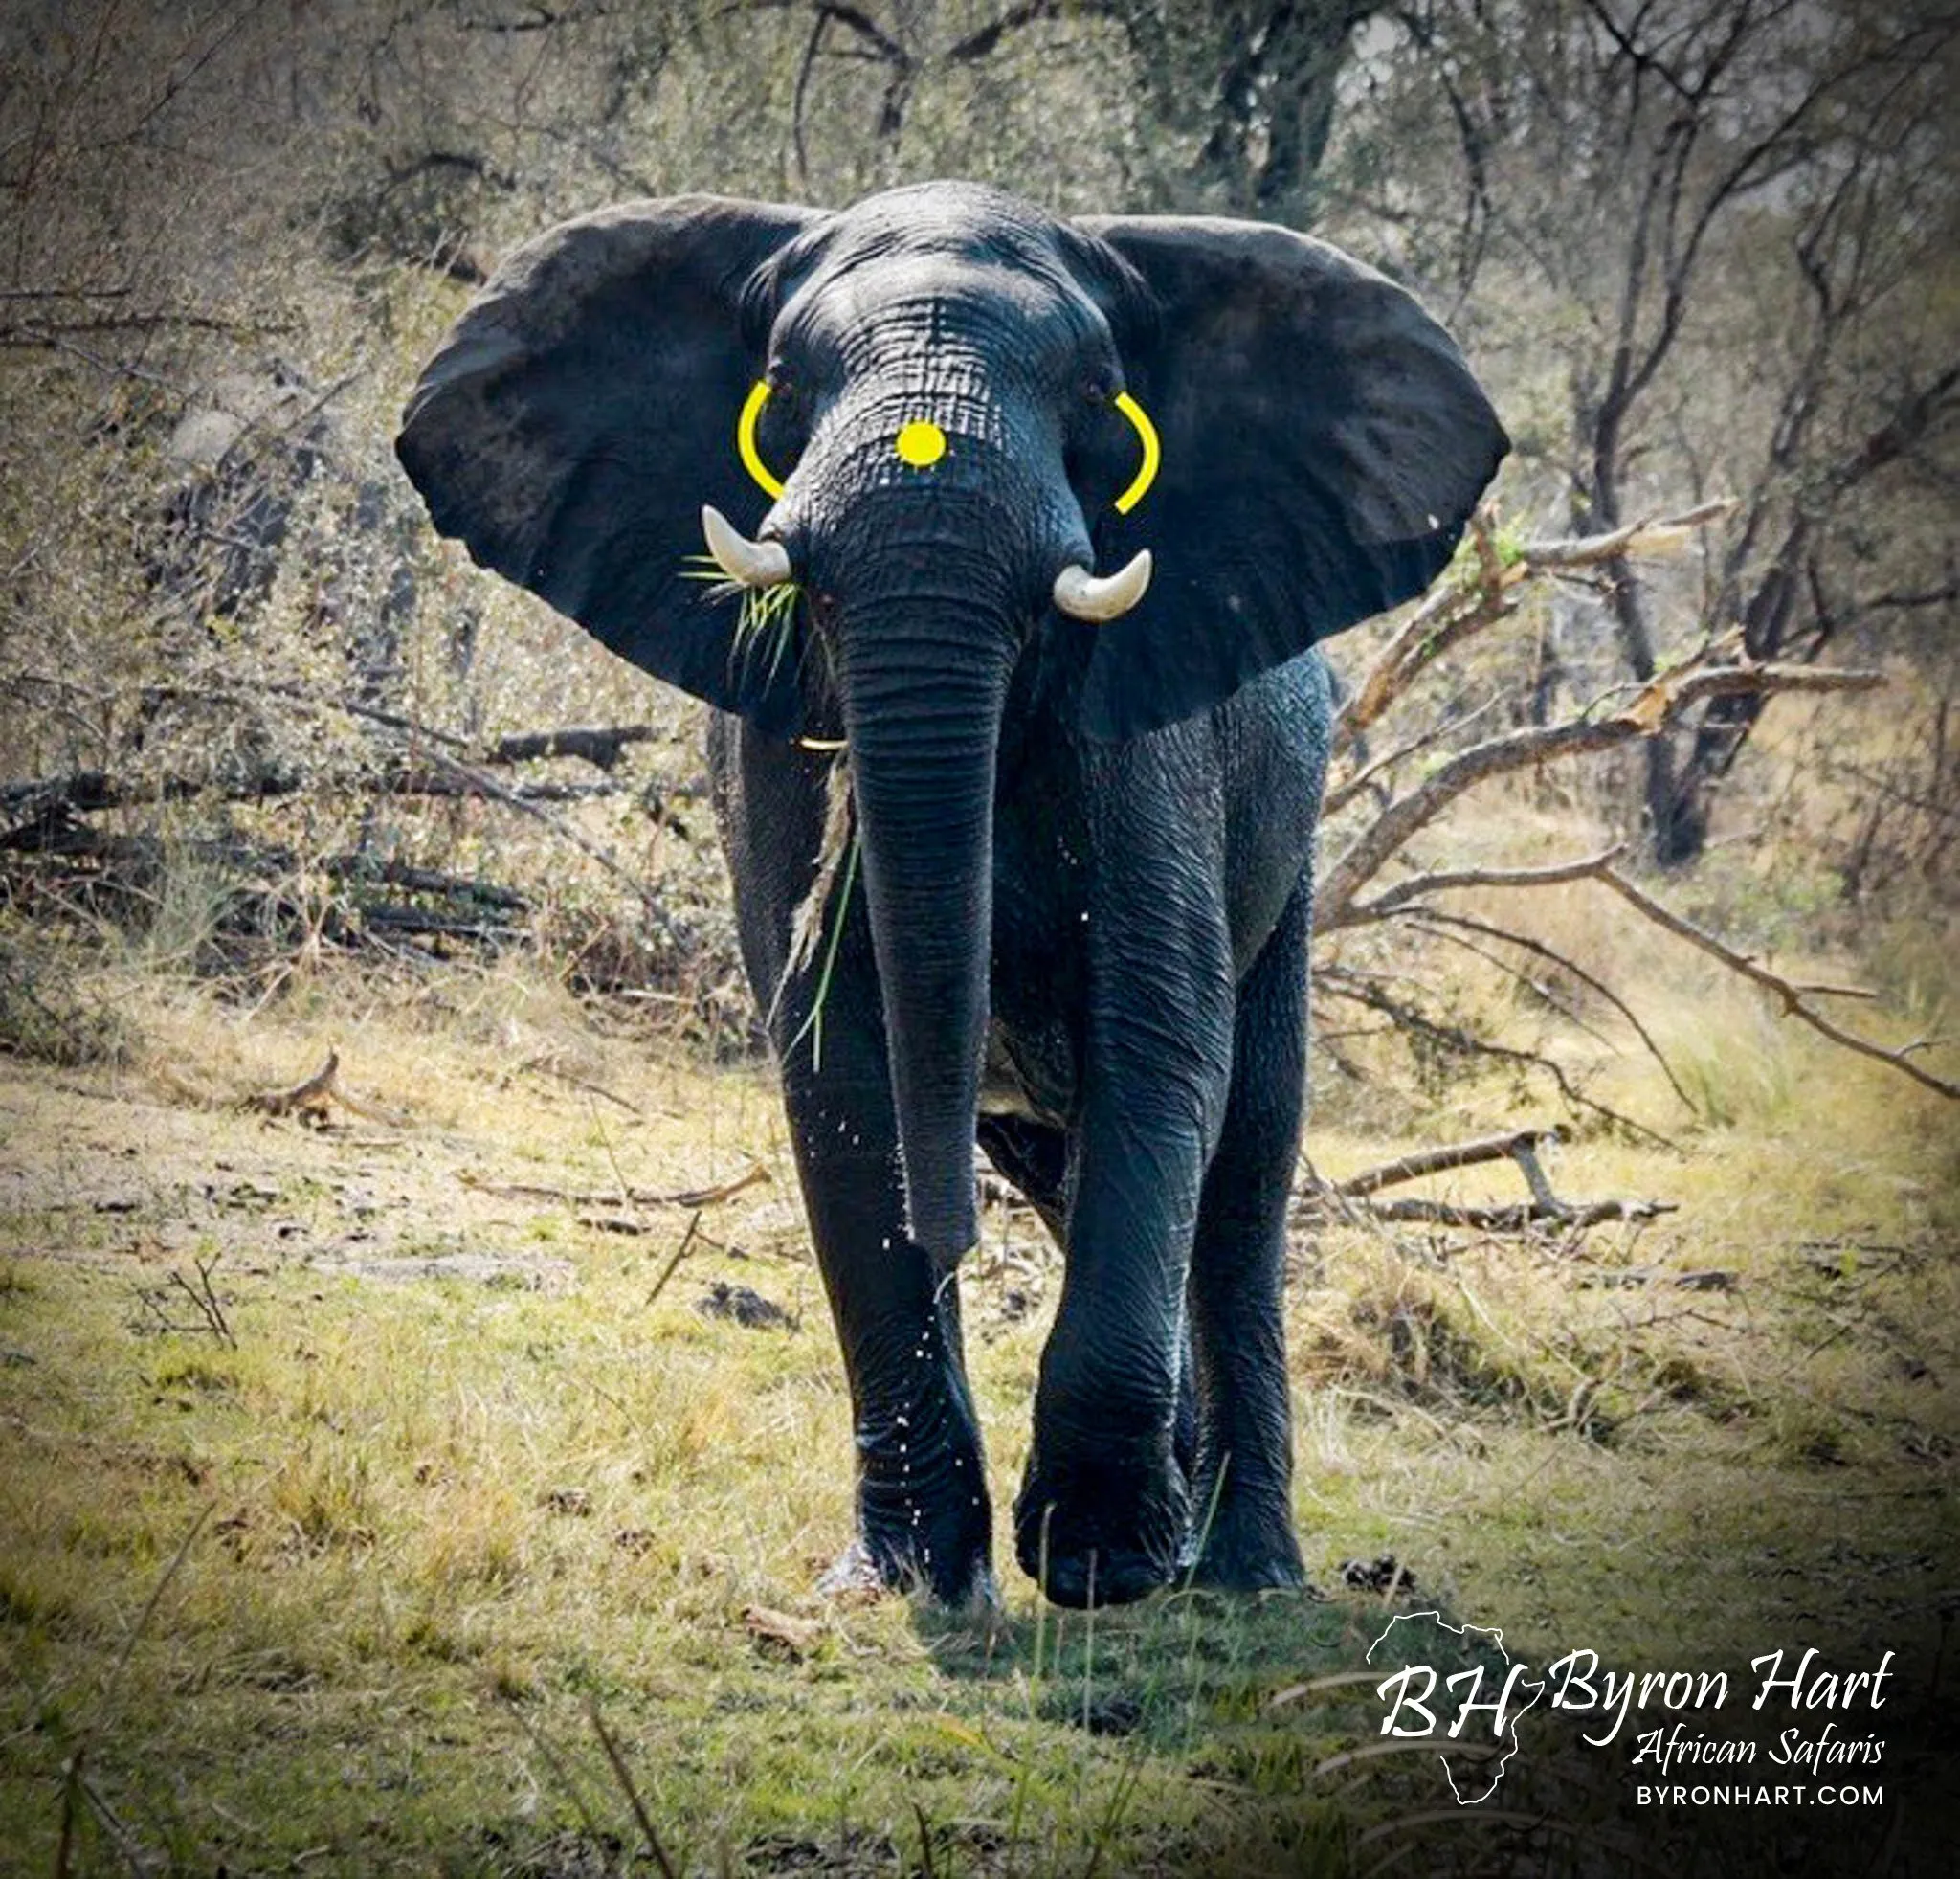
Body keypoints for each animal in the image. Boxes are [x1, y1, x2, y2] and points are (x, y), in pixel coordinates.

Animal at [396, 181, 1506, 1609]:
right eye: (782, 382)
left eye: (1095, 389)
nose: (958, 1240)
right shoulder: (772, 742)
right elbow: (838, 1071)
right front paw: (909, 1576)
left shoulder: (1150, 747)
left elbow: (1159, 1047)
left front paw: (1099, 1562)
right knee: (1081, 1170)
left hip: (1292, 844)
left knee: (1242, 1169)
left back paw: (1243, 1570)